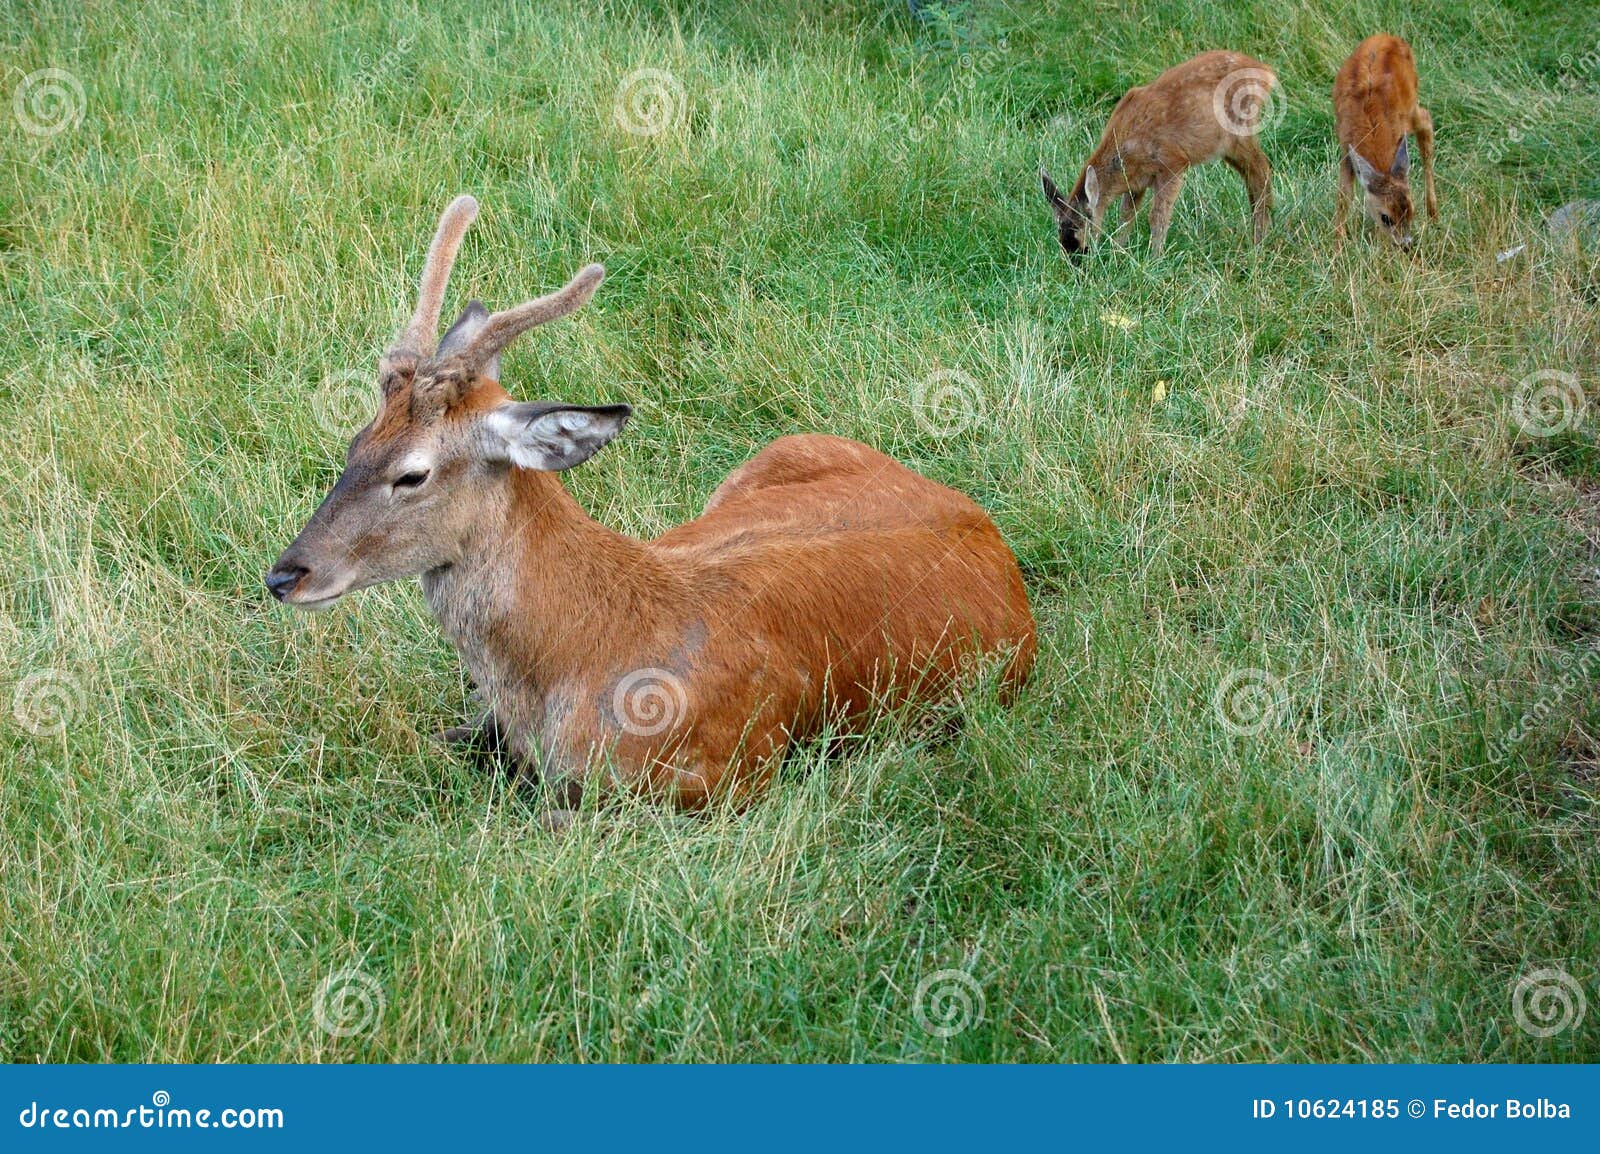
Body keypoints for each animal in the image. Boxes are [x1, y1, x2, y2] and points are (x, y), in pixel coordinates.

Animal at [1040, 50, 1277, 259]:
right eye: (1059, 228)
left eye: (1082, 225)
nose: (1076, 258)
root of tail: (1266, 71)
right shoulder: (1136, 182)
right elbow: (1126, 215)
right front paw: (1119, 251)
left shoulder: (1172, 163)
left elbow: (1157, 216)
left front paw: (1154, 258)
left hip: (1238, 135)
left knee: (1262, 170)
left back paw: (1259, 242)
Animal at [1333, 34, 1438, 249]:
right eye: (1386, 218)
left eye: (1411, 211)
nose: (1406, 245)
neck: (1373, 129)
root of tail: (1388, 36)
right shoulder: (1346, 147)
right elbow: (1343, 196)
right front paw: (1337, 245)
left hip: (1411, 108)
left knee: (1426, 123)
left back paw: (1434, 215)